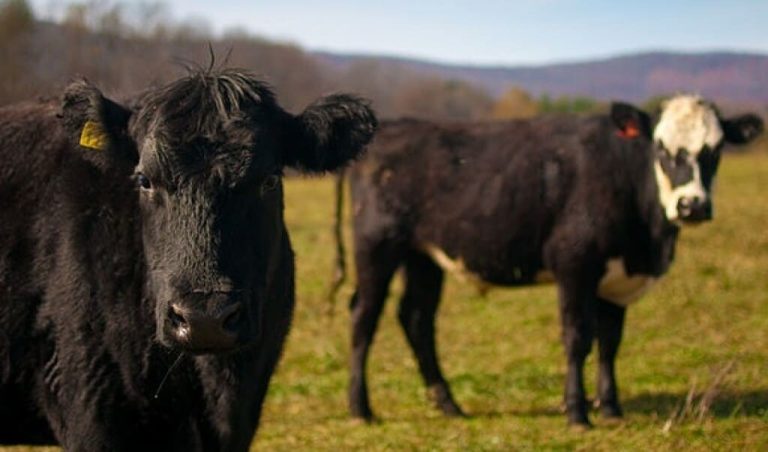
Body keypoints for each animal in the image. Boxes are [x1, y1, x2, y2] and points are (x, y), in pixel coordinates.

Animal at [331, 95, 762, 427]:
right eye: (660, 148)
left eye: (716, 150)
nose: (692, 205)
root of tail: (389, 126)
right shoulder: (574, 263)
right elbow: (577, 338)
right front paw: (577, 413)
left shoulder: (616, 280)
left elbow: (610, 344)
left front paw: (611, 409)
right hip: (377, 246)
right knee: (363, 317)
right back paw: (360, 408)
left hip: (423, 256)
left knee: (417, 318)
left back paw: (448, 403)